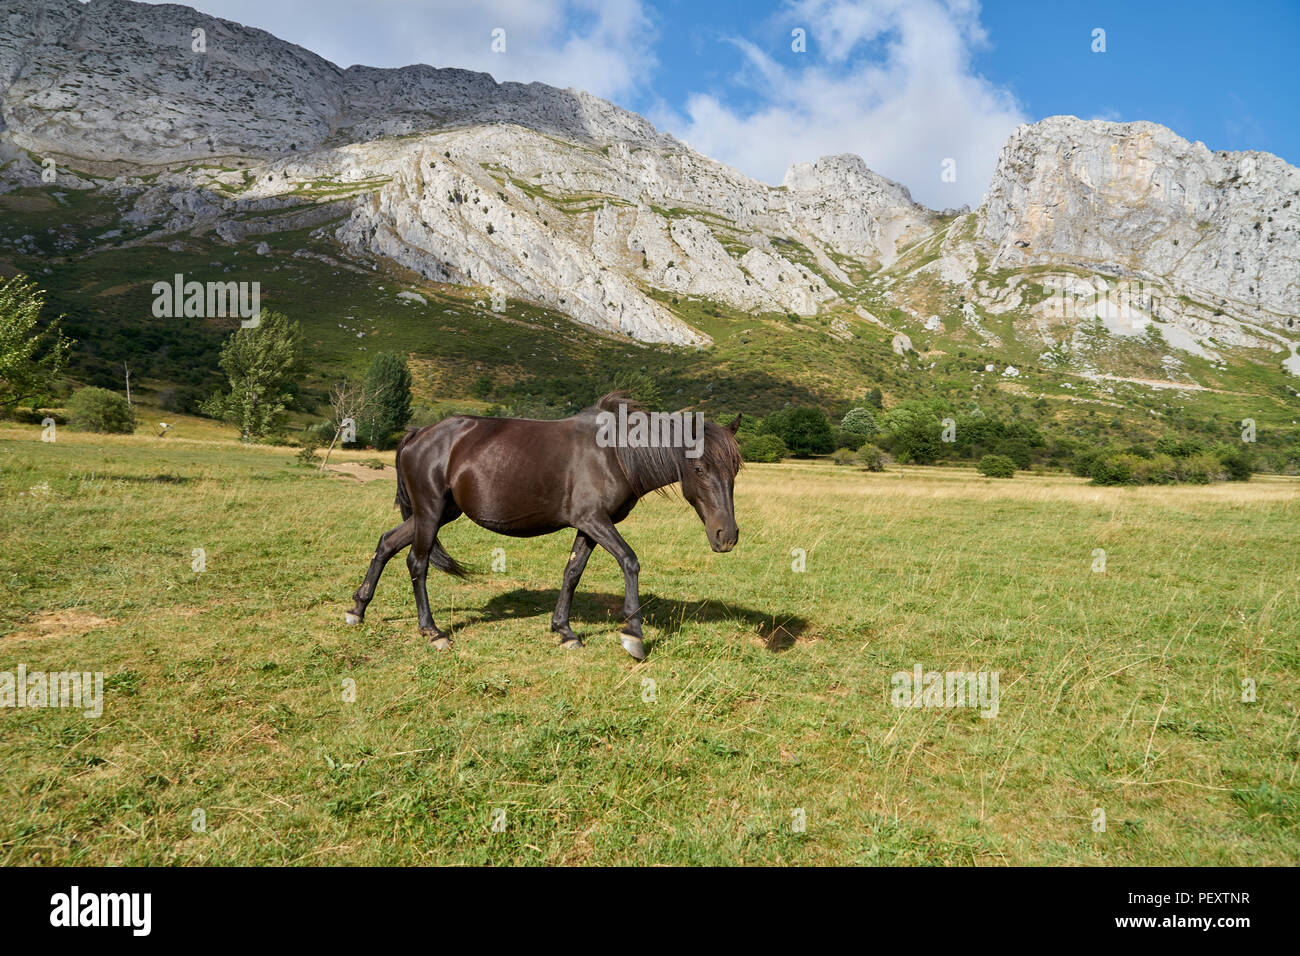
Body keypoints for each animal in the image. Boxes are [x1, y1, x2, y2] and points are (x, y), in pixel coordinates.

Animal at [344, 393, 742, 660]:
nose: (727, 537)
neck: (613, 454)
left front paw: (564, 631)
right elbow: (629, 561)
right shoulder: (595, 521)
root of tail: (419, 433)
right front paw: (633, 635)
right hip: (430, 511)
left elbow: (572, 573)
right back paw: (432, 631)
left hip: (439, 513)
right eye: (699, 469)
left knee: (386, 543)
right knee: (417, 562)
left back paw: (358, 610)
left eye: (735, 470)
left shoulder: (590, 526)